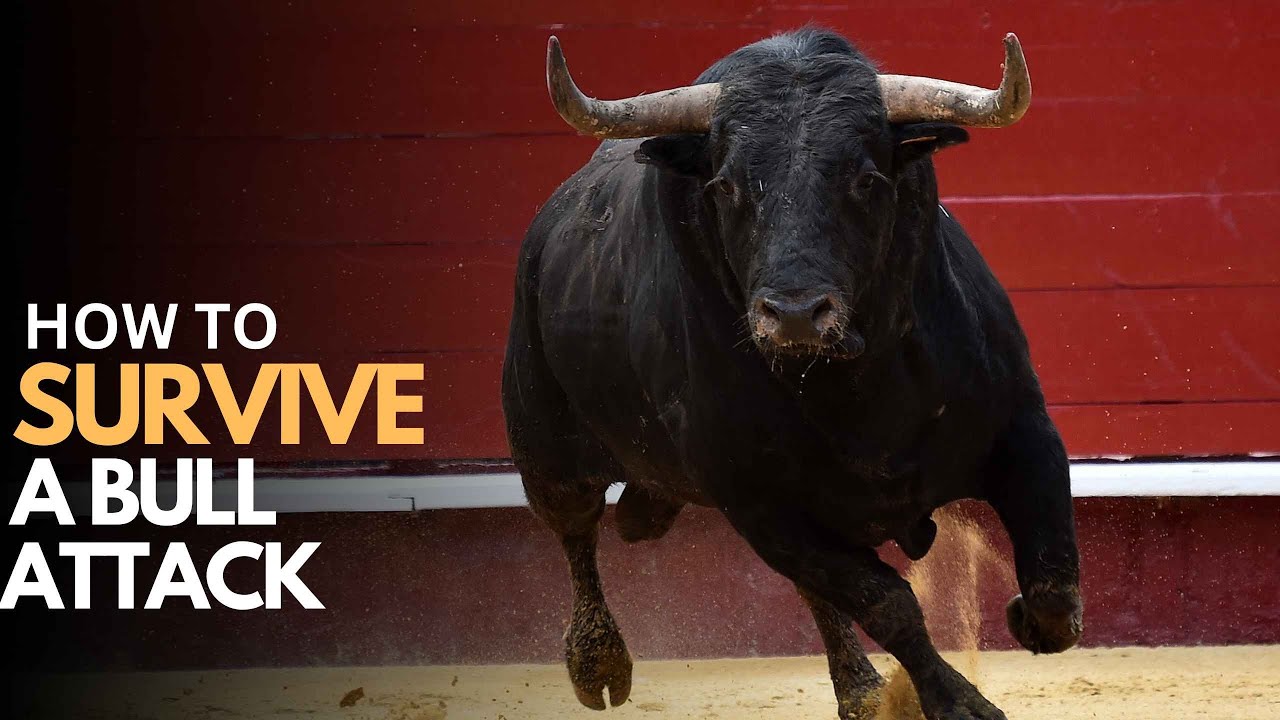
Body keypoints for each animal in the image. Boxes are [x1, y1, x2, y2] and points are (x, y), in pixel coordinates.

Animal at [502, 28, 1082, 720]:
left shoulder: (1025, 429)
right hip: (547, 450)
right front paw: (956, 701)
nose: (797, 313)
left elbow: (1052, 582)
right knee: (575, 530)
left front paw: (1025, 619)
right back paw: (599, 667)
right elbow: (888, 604)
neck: (857, 386)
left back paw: (859, 690)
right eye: (725, 186)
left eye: (867, 178)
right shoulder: (761, 506)